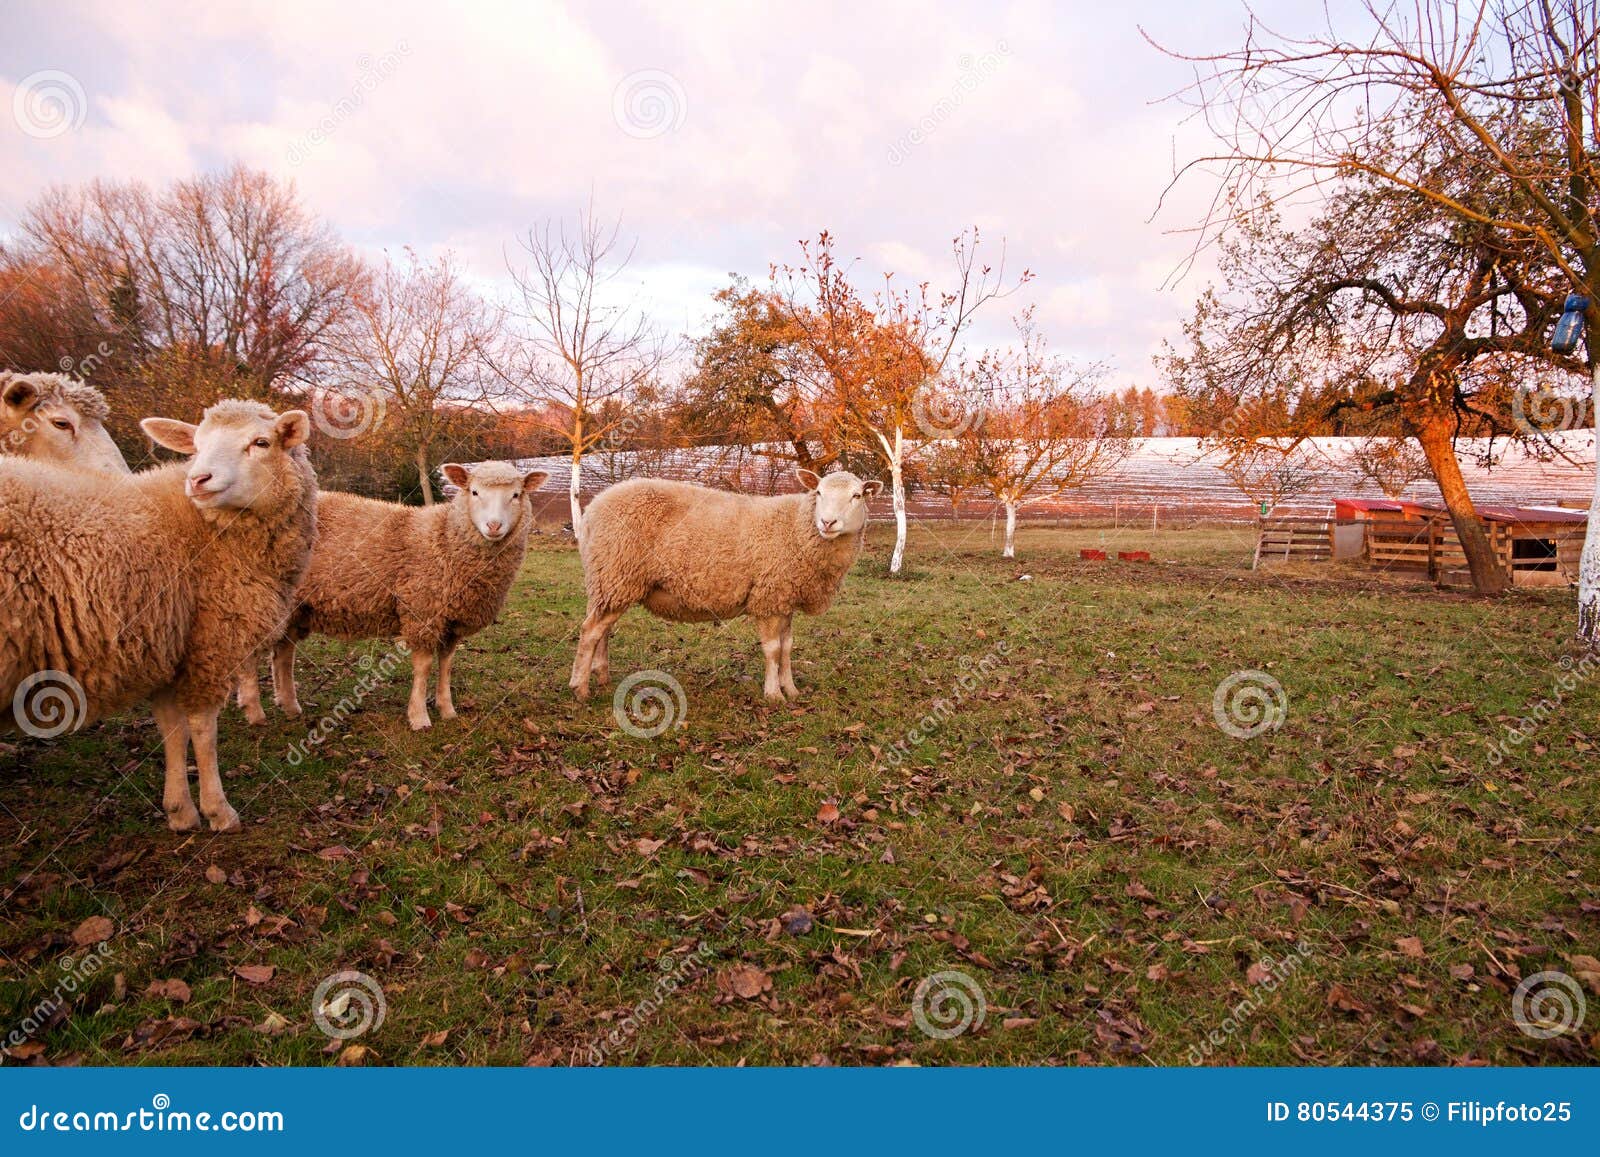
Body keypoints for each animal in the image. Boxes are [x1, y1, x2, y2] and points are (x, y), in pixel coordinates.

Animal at [0, 399, 318, 832]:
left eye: (261, 442)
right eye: (195, 446)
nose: (198, 480)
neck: (204, 530)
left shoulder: (168, 646)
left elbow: (172, 730)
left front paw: (180, 811)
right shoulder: (208, 645)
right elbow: (202, 730)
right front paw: (218, 810)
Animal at [239, 461, 550, 732]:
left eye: (516, 495)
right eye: (473, 492)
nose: (494, 526)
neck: (444, 538)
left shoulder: (451, 621)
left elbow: (447, 663)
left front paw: (447, 709)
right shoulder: (423, 611)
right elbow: (424, 667)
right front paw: (419, 717)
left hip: (295, 607)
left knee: (283, 652)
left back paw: (289, 705)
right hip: (255, 594)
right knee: (251, 649)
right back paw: (255, 712)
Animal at [570, 467, 883, 703]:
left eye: (857, 495)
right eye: (818, 493)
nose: (827, 522)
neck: (796, 527)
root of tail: (592, 508)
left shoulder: (785, 598)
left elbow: (788, 647)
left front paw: (791, 690)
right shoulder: (768, 597)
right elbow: (773, 649)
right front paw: (773, 695)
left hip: (609, 582)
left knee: (601, 629)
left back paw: (602, 678)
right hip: (616, 572)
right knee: (590, 631)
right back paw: (580, 689)